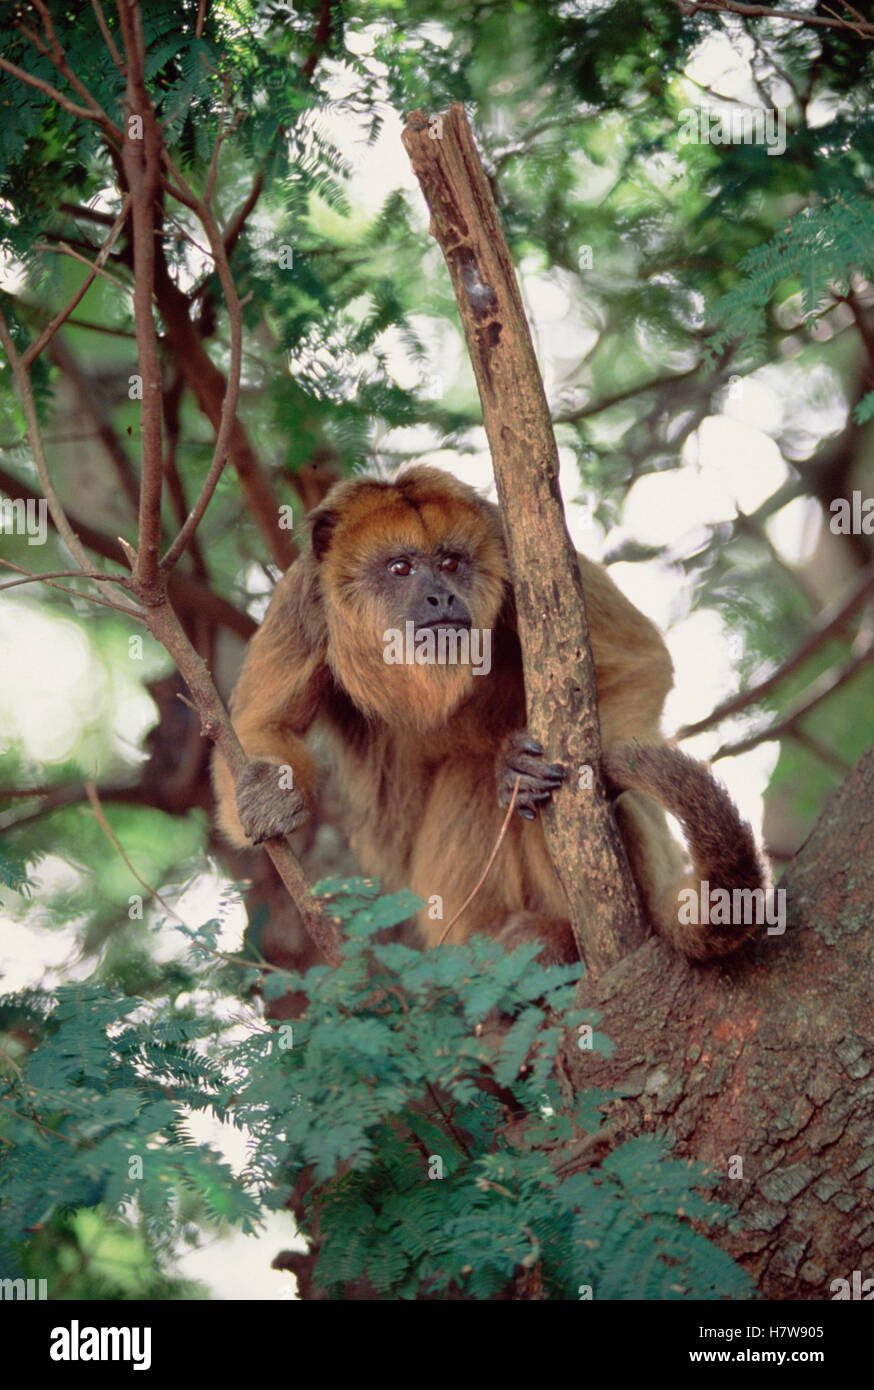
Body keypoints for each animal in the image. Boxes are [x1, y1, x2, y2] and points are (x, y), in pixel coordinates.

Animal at [212, 466, 767, 966]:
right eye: (400, 568)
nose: (441, 595)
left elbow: (638, 661)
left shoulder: (531, 560)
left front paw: (595, 782)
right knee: (469, 777)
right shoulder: (303, 602)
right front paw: (268, 791)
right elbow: (262, 724)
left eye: (452, 561)